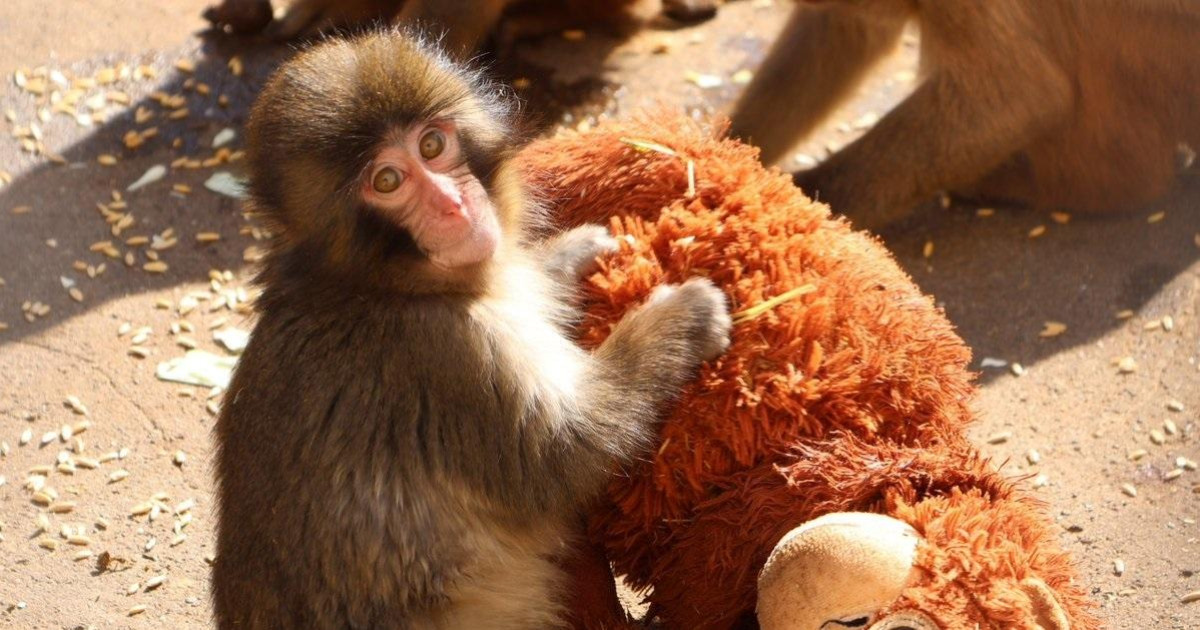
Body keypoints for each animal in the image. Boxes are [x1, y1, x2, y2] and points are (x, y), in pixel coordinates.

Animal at [210, 29, 732, 629]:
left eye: (432, 146)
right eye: (387, 181)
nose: (453, 204)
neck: (377, 285)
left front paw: (569, 256)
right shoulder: (445, 354)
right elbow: (564, 455)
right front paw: (681, 317)